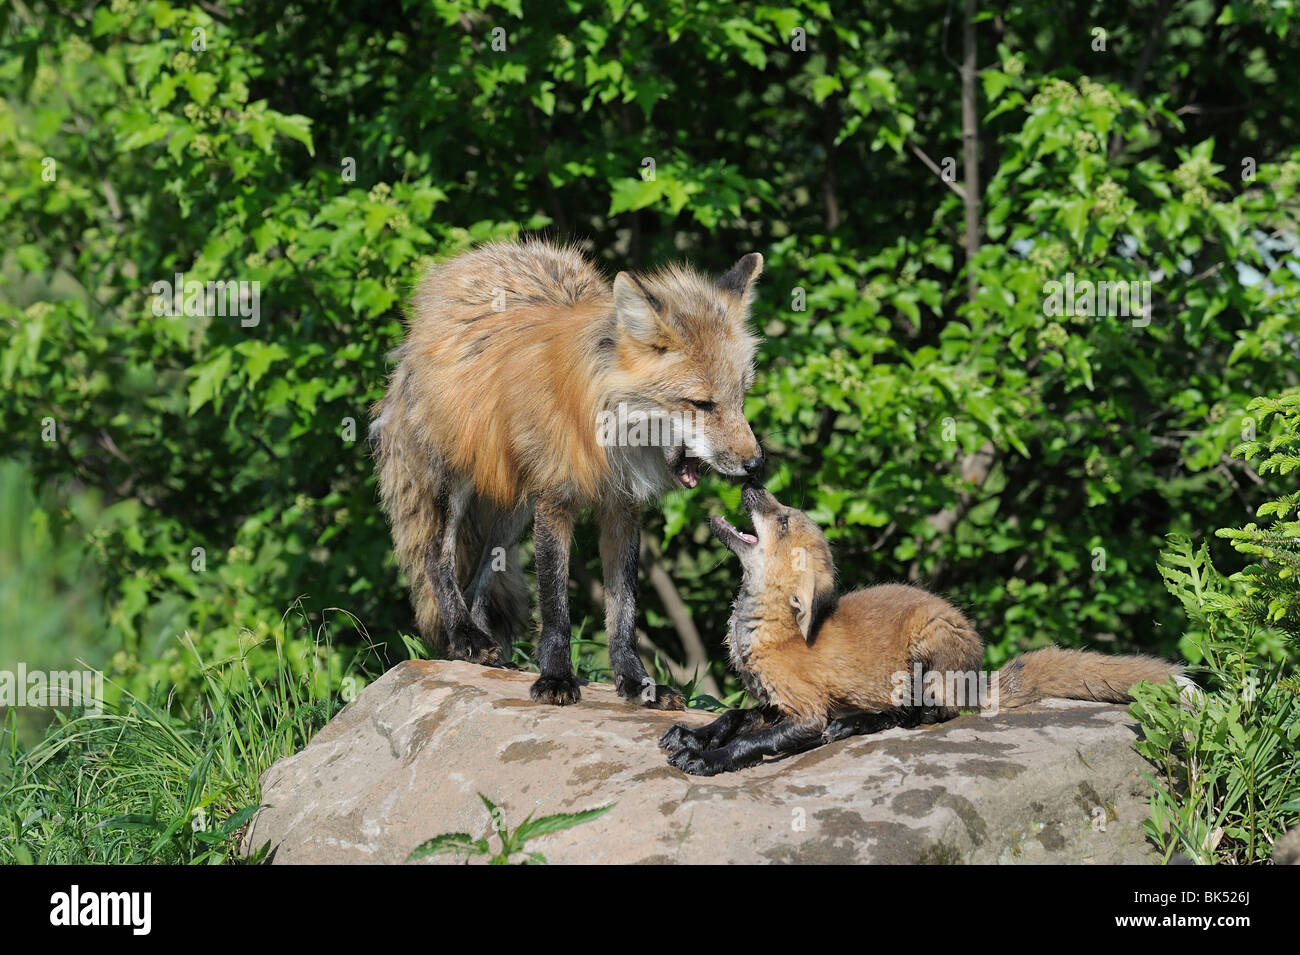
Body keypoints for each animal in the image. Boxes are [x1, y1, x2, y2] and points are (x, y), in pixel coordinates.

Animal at [370, 239, 766, 709]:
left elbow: (623, 611)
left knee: (482, 574)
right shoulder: (555, 500)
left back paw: (489, 652)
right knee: (437, 556)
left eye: (741, 397)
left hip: (513, 509)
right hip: (458, 480)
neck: (610, 436)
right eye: (701, 404)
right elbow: (555, 605)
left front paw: (637, 684)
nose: (756, 464)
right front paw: (556, 677)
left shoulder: (621, 509)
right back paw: (466, 636)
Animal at [660, 483, 1196, 775]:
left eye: (783, 520)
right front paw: (693, 736)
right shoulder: (772, 701)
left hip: (925, 654)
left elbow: (752, 741)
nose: (751, 479)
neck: (767, 632)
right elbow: (732, 718)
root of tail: (978, 674)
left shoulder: (804, 711)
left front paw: (710, 760)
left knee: (921, 716)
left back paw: (855, 724)